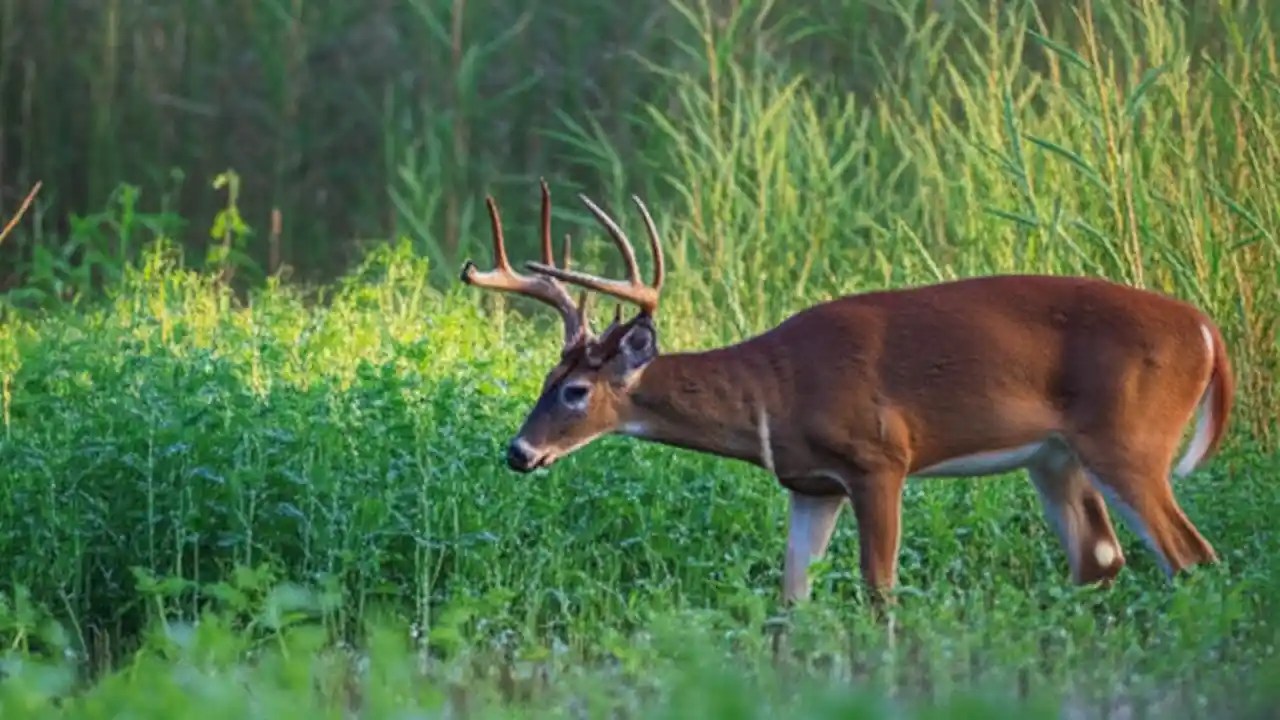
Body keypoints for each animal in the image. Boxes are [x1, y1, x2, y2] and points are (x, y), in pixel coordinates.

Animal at [459, 180, 1234, 606]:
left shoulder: (880, 460)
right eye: (544, 380)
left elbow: (878, 590)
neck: (774, 390)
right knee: (1102, 561)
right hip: (1054, 457)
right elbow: (791, 596)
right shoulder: (811, 485)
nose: (517, 452)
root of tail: (1207, 330)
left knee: (1192, 557)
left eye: (575, 391)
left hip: (1129, 441)